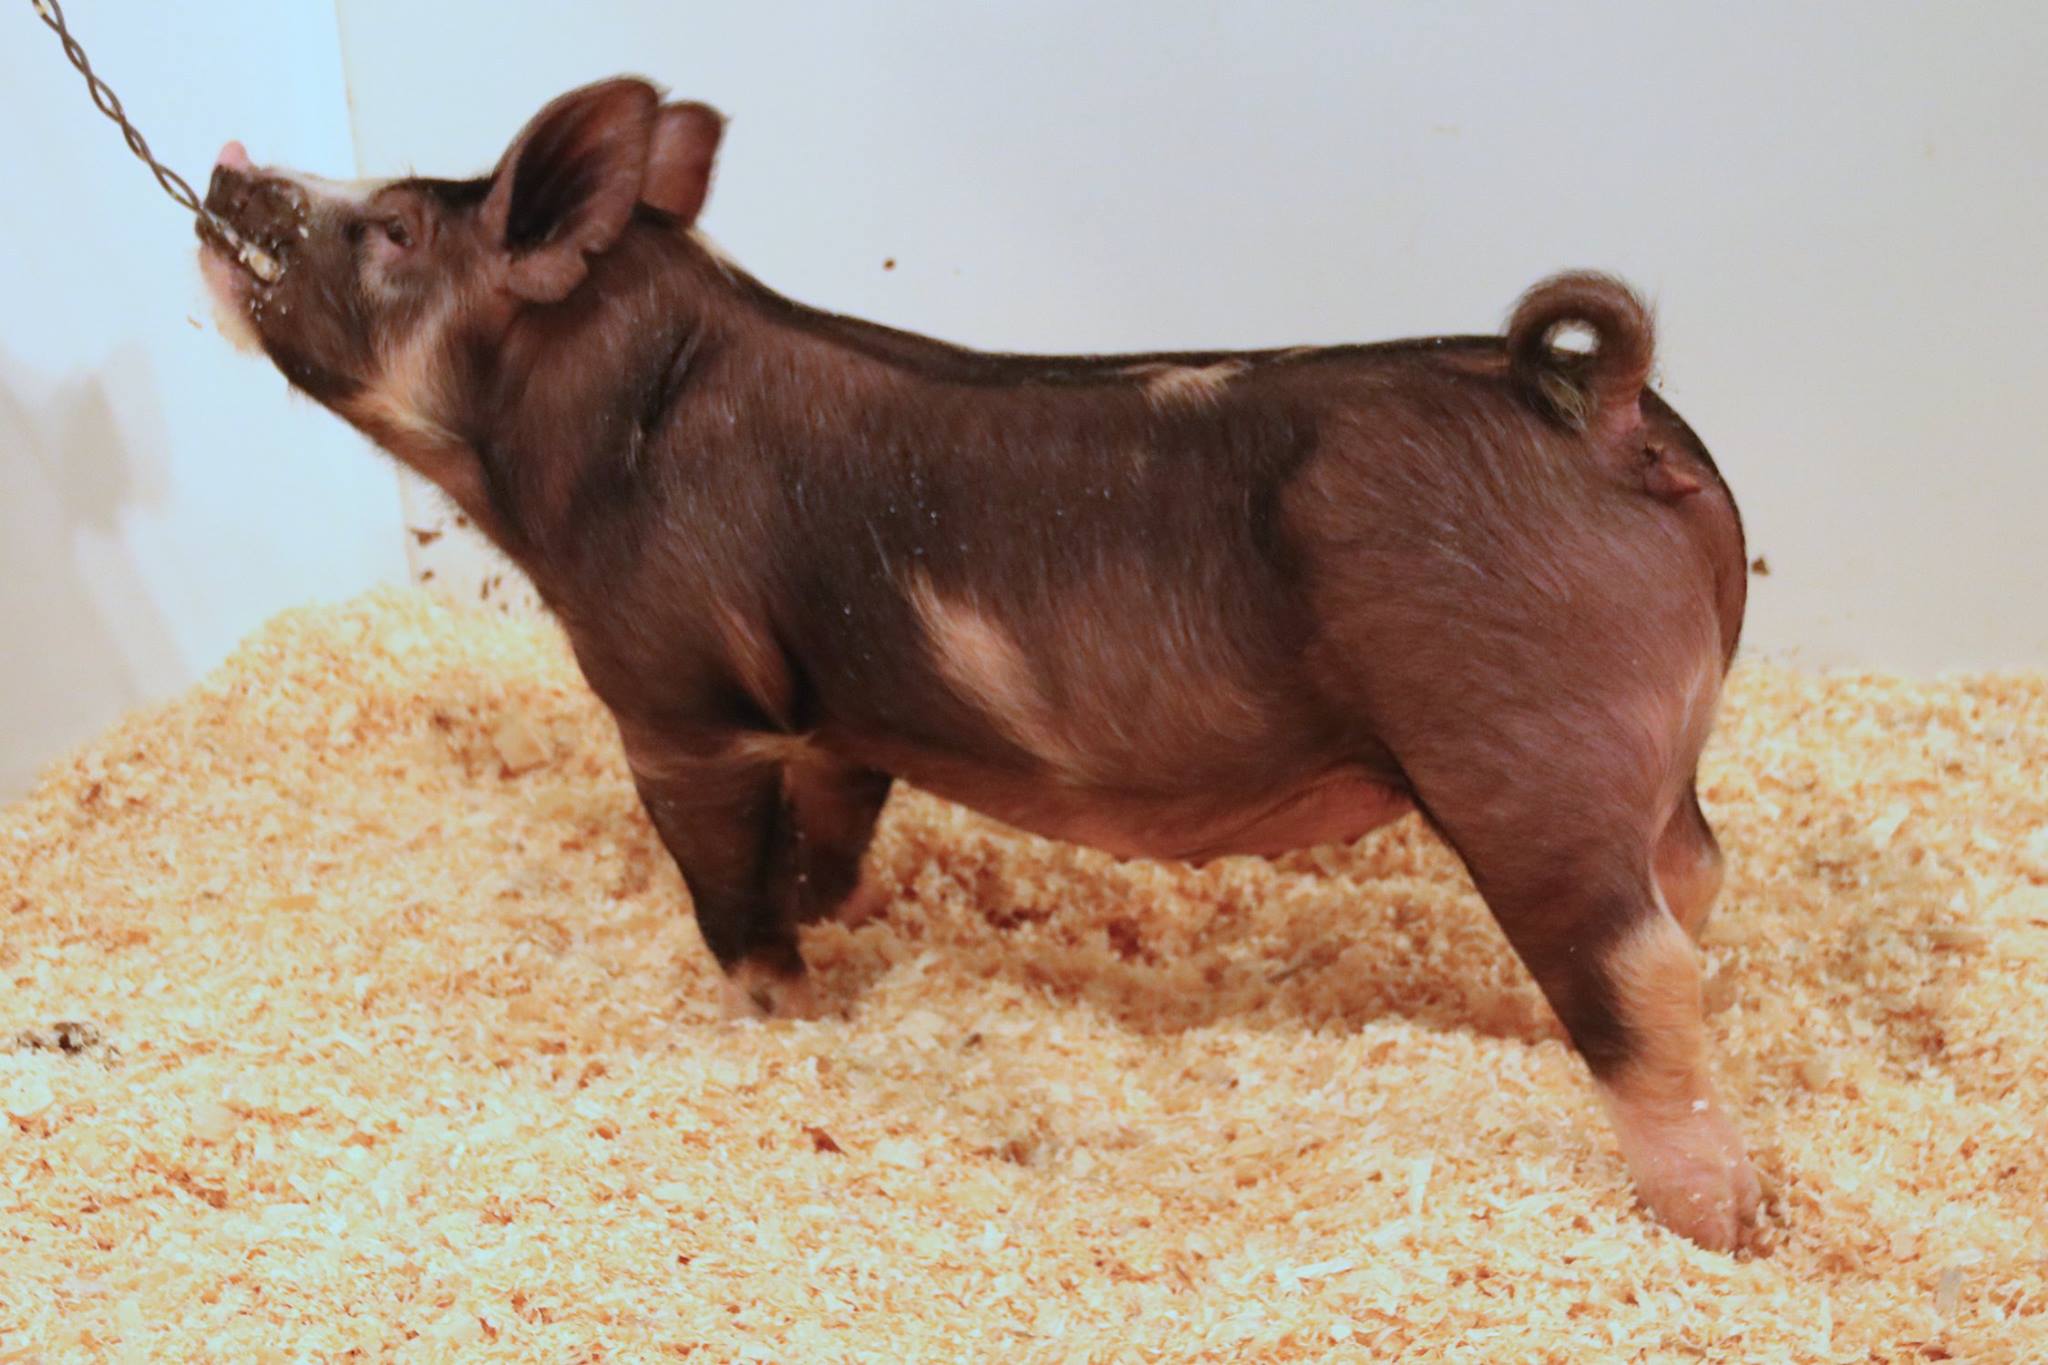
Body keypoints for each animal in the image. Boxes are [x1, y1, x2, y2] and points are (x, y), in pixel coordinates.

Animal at [198, 78, 1758, 1248]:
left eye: (395, 226)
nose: (229, 165)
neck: (594, 430)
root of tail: (1596, 399)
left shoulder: (673, 699)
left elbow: (725, 889)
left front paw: (779, 1015)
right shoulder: (836, 717)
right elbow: (828, 837)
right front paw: (841, 927)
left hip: (1521, 754)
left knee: (1635, 977)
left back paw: (1720, 1228)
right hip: (1648, 756)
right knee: (1694, 880)